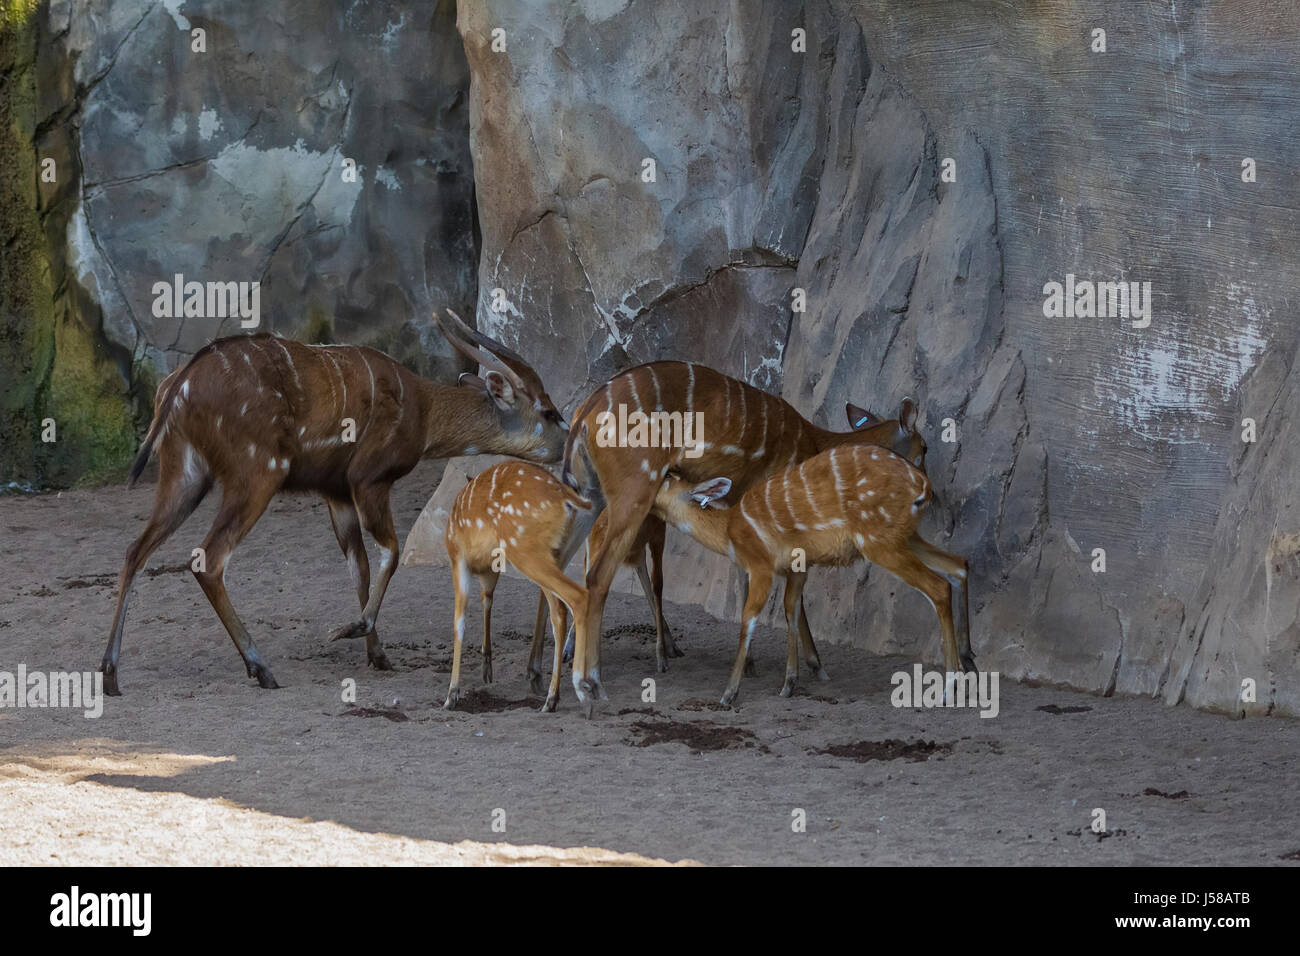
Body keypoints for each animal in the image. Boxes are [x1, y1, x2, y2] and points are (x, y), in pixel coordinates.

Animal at [99, 309, 567, 695]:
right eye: (548, 411)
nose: (566, 444)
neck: (422, 409)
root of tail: (177, 386)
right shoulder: (368, 480)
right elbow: (390, 552)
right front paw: (352, 629)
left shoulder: (336, 493)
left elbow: (359, 565)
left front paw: (377, 654)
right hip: (257, 475)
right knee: (207, 559)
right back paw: (261, 668)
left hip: (185, 476)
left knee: (135, 550)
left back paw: (110, 674)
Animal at [444, 461, 591, 712]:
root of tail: (565, 498)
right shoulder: (490, 570)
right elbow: (487, 600)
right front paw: (486, 668)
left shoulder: (458, 558)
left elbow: (458, 622)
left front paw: (451, 695)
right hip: (553, 552)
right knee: (559, 611)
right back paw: (552, 698)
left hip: (524, 549)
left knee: (578, 597)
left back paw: (577, 693)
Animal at [650, 442, 973, 704]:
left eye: (667, 477)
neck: (730, 530)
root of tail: (923, 484)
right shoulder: (799, 567)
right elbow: (790, 609)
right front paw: (789, 684)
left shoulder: (761, 565)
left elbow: (749, 619)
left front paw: (729, 694)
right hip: (905, 536)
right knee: (958, 565)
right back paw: (968, 664)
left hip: (878, 541)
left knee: (938, 586)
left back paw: (949, 688)